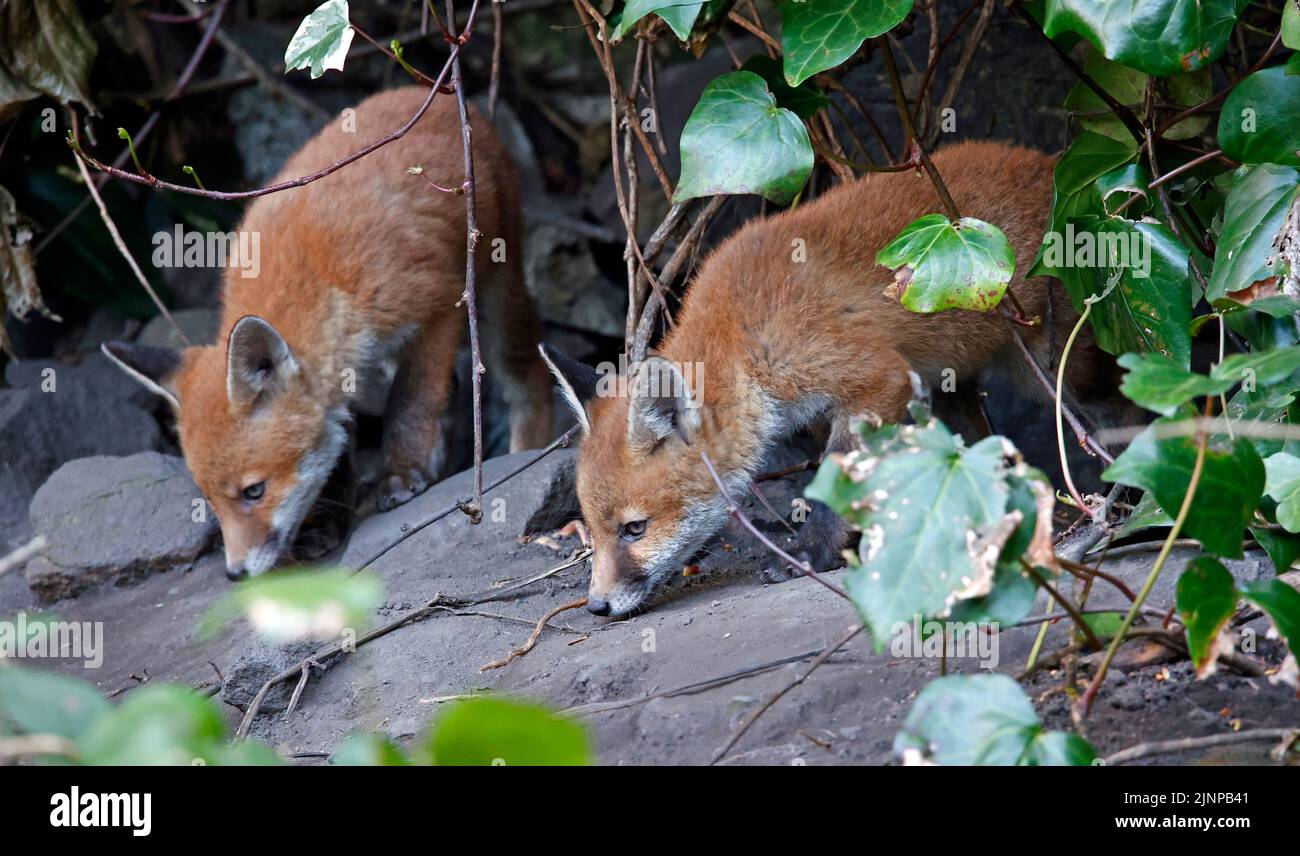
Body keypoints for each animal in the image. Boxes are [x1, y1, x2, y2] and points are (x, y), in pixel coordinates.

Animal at [103, 87, 554, 579]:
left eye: (255, 491)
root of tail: (426, 93)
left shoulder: (436, 307)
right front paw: (330, 520)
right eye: (211, 501)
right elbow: (336, 446)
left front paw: (402, 471)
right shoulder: (340, 364)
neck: (314, 285)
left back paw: (525, 449)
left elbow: (410, 403)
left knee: (526, 376)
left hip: (494, 289)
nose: (235, 573)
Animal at [542, 141, 1120, 618]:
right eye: (592, 529)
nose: (596, 606)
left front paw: (814, 552)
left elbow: (835, 480)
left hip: (1057, 367)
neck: (741, 334)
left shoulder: (877, 378)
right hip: (955, 386)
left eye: (635, 529)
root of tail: (1053, 167)